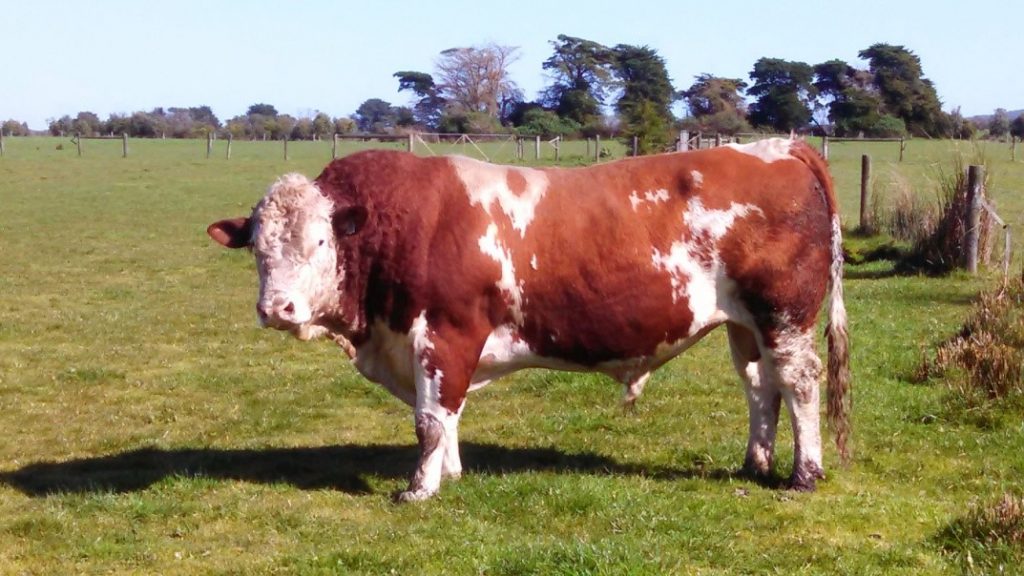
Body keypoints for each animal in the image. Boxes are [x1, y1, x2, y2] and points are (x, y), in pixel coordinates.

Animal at [207, 137, 850, 502]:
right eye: (257, 247)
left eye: (320, 241)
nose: (276, 309)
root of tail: (779, 145)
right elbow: (448, 414)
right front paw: (450, 475)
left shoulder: (446, 332)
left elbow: (430, 420)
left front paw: (419, 489)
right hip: (745, 323)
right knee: (759, 385)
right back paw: (756, 462)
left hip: (784, 314)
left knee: (797, 382)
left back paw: (804, 474)